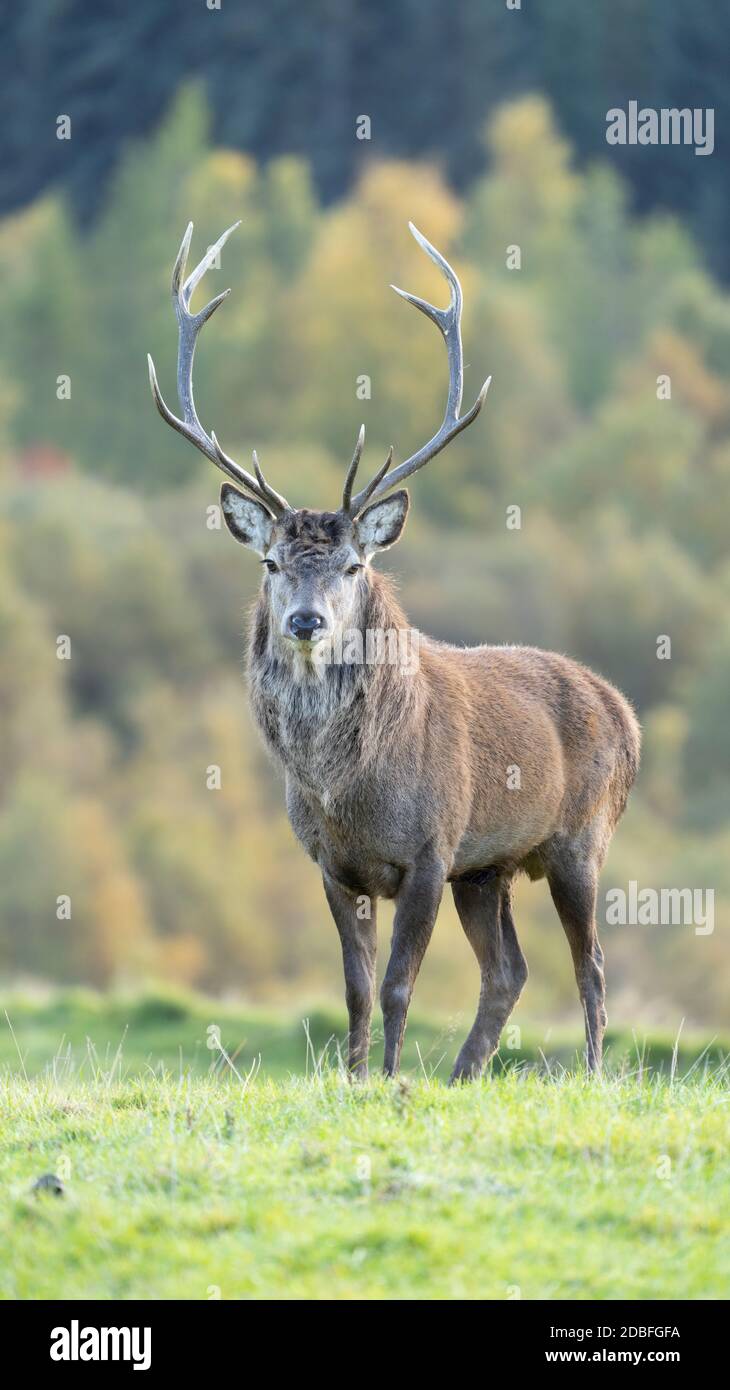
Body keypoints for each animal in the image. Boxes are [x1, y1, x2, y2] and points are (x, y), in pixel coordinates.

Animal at [148, 220, 640, 1082]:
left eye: (353, 565)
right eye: (270, 562)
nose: (306, 621)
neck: (345, 790)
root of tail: (628, 713)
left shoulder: (429, 850)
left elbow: (399, 984)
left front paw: (388, 1080)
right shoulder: (332, 864)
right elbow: (352, 986)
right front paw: (351, 1078)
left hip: (580, 838)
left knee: (592, 965)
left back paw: (590, 1074)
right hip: (490, 869)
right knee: (509, 970)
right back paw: (465, 1074)